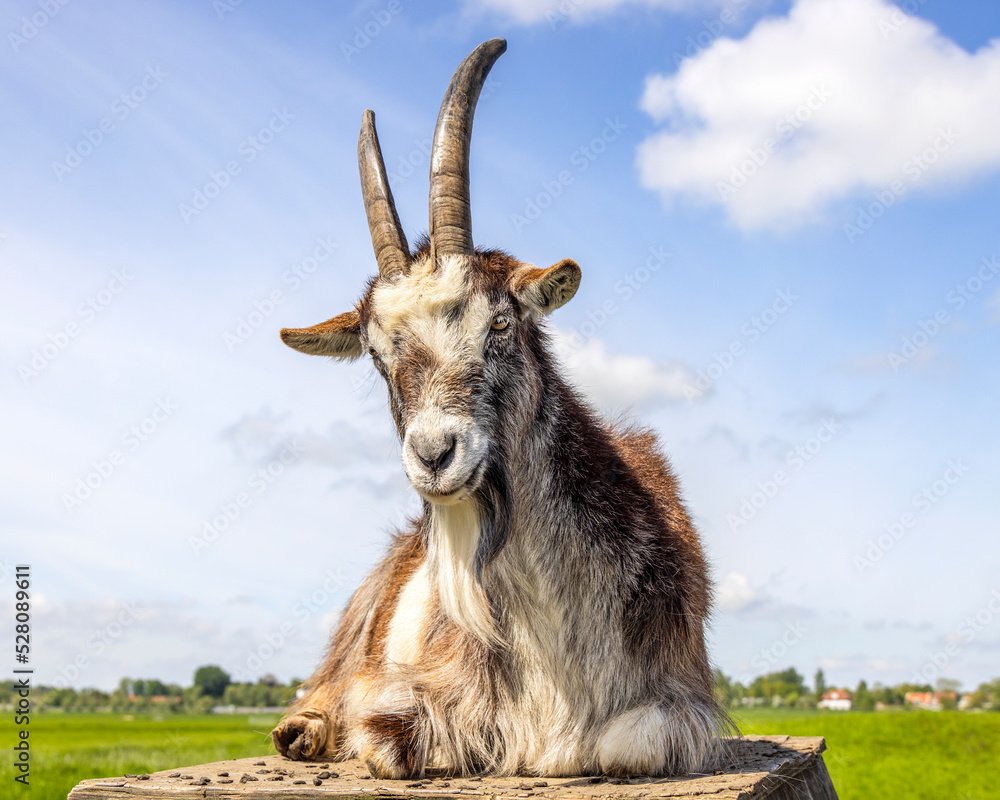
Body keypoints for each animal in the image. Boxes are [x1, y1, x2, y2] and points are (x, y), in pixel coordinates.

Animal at [271, 38, 730, 779]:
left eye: (501, 324)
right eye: (376, 355)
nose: (434, 454)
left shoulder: (680, 696)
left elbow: (620, 746)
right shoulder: (415, 693)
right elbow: (383, 743)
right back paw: (304, 729)